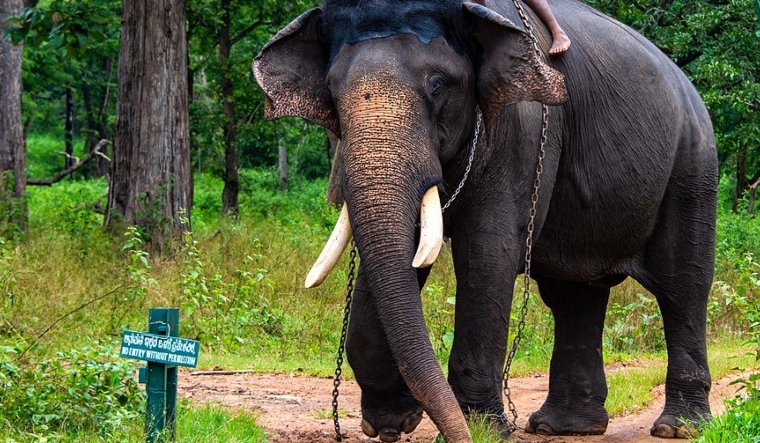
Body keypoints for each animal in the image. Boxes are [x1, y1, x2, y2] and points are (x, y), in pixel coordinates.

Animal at [253, 0, 718, 441]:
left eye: (439, 85)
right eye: (332, 93)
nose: (451, 431)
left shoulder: (524, 124)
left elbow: (487, 251)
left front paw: (480, 430)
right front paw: (389, 426)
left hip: (692, 167)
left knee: (682, 287)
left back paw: (679, 428)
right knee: (574, 293)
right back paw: (564, 428)